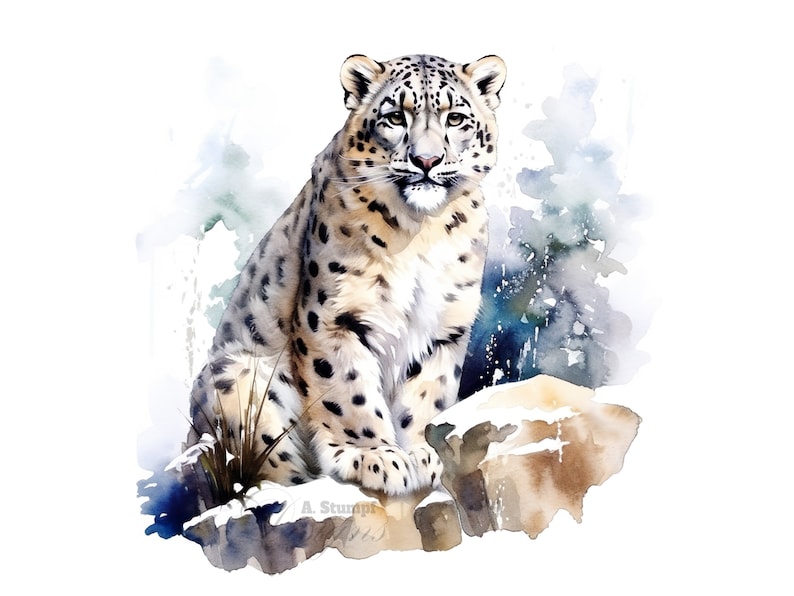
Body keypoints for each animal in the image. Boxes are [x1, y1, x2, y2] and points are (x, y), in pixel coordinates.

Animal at [188, 53, 506, 497]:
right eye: (395, 116)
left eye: (456, 118)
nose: (427, 160)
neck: (421, 231)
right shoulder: (334, 315)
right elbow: (349, 389)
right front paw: (375, 456)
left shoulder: (445, 327)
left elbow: (428, 394)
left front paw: (422, 453)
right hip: (232, 376)